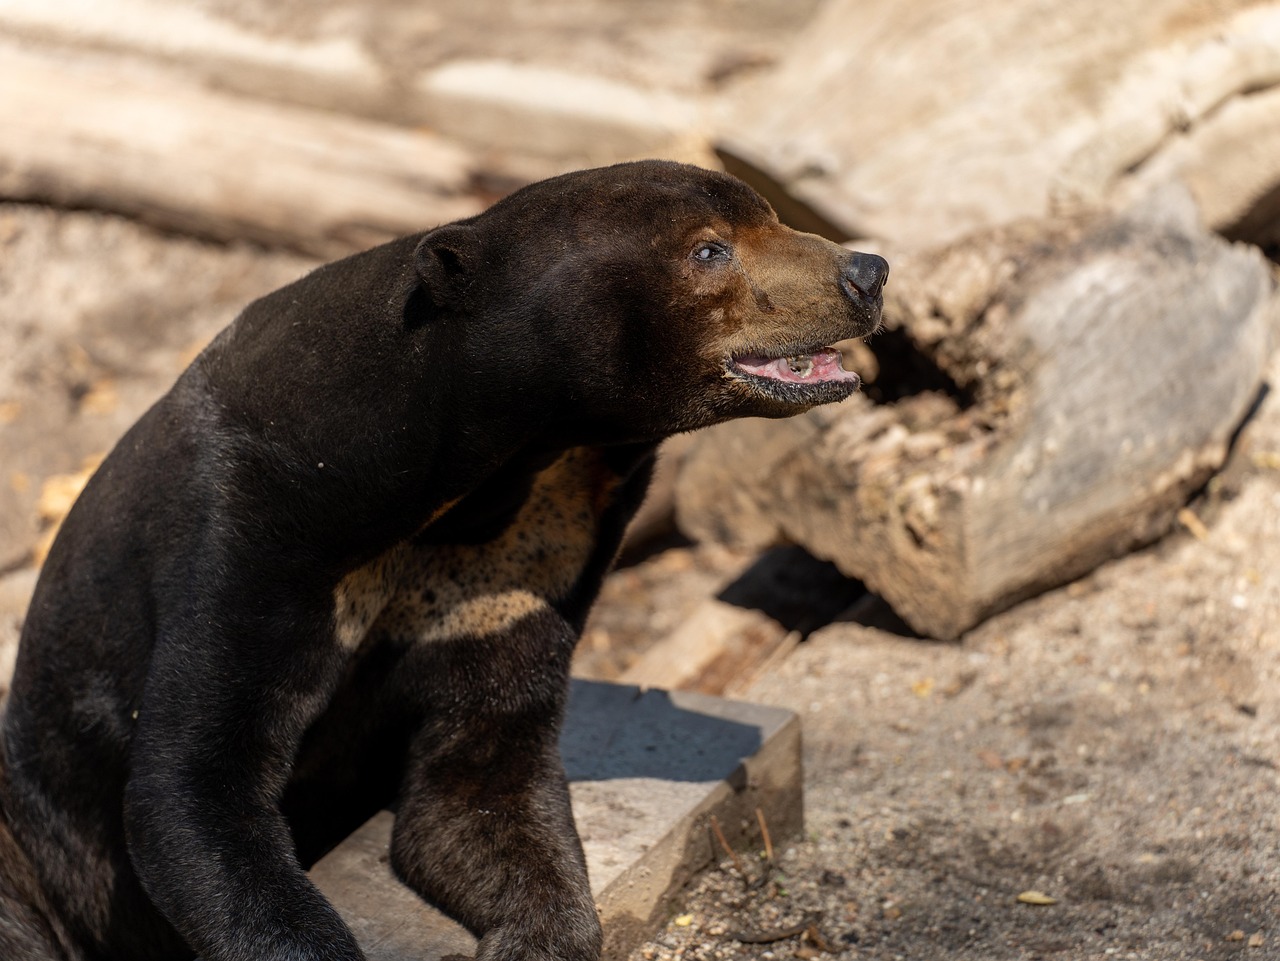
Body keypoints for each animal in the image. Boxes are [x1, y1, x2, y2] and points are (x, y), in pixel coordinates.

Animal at [0, 160, 887, 961]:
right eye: (710, 249)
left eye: (770, 216)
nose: (867, 272)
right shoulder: (250, 527)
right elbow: (194, 787)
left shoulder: (523, 555)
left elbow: (482, 773)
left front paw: (539, 935)